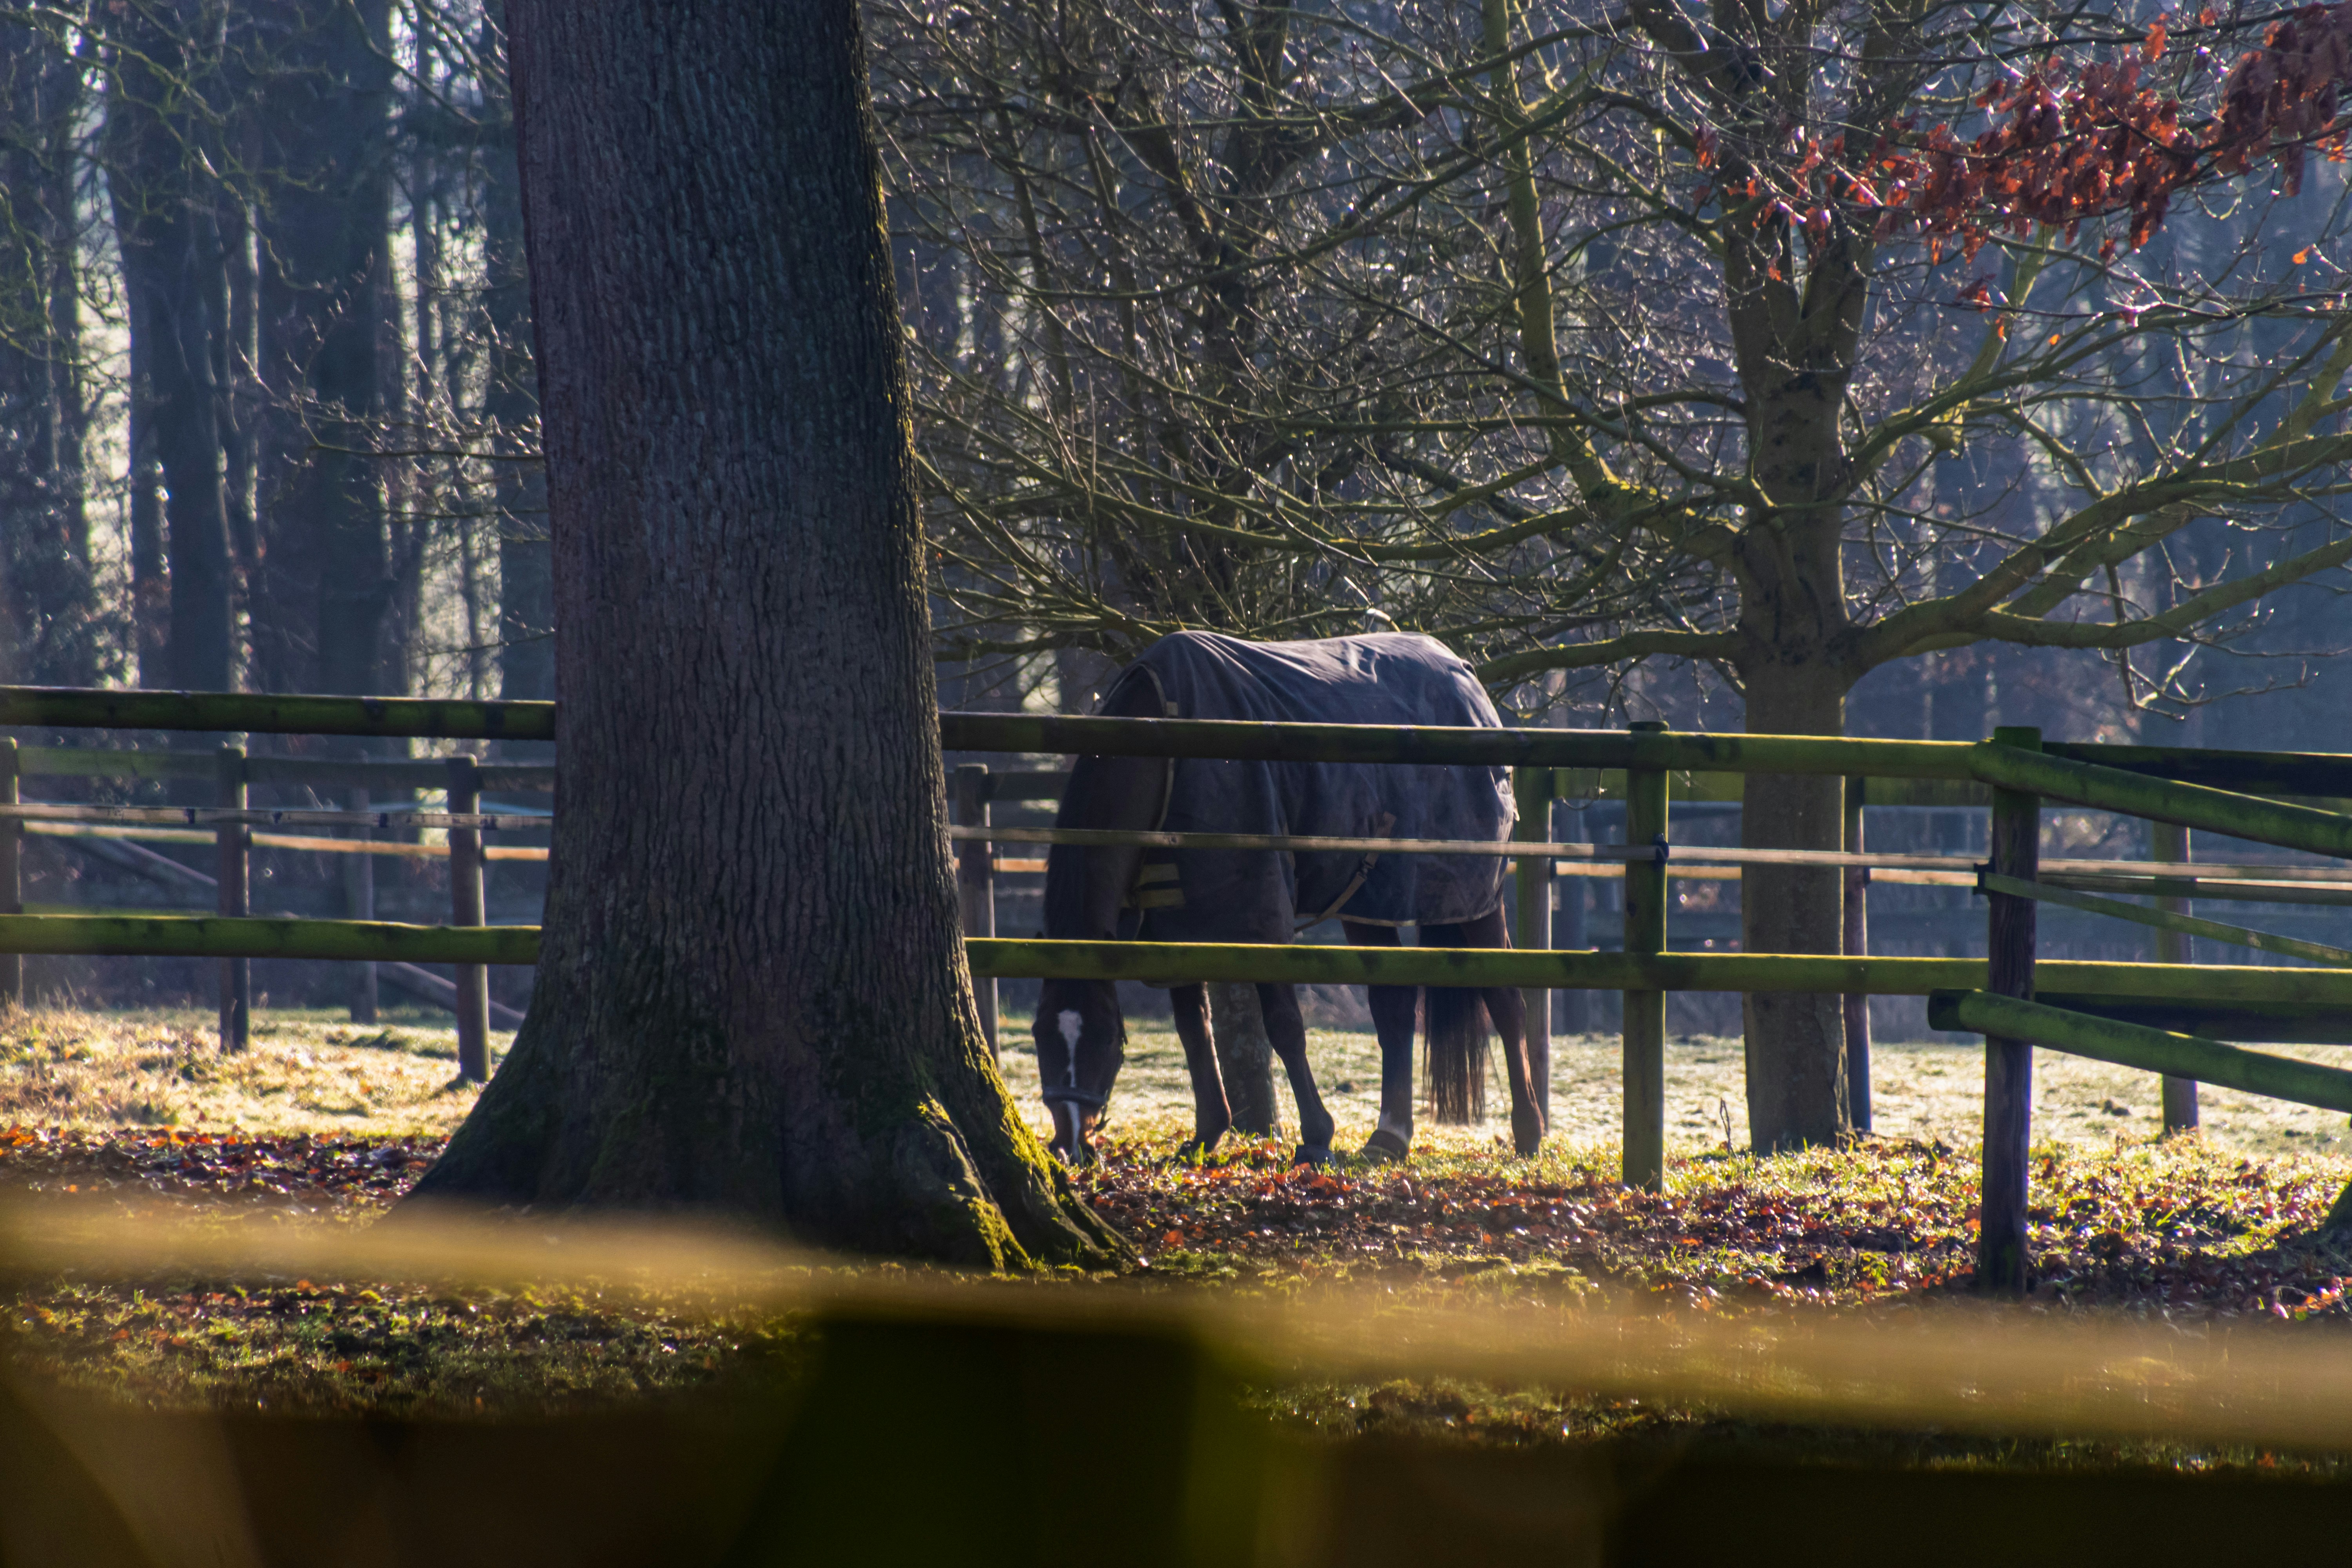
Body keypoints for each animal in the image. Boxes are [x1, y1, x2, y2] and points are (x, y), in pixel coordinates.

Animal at [1033, 630, 1546, 1167]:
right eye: (1040, 1035)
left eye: (1107, 1037)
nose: (1069, 1145)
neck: (1165, 739)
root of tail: (1464, 674)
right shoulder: (1175, 919)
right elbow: (1194, 1029)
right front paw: (1207, 1134)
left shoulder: (1261, 914)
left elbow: (1283, 1025)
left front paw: (1317, 1137)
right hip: (1368, 902)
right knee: (1394, 1004)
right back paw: (1389, 1137)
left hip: (1477, 898)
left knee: (1506, 1001)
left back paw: (1528, 1133)